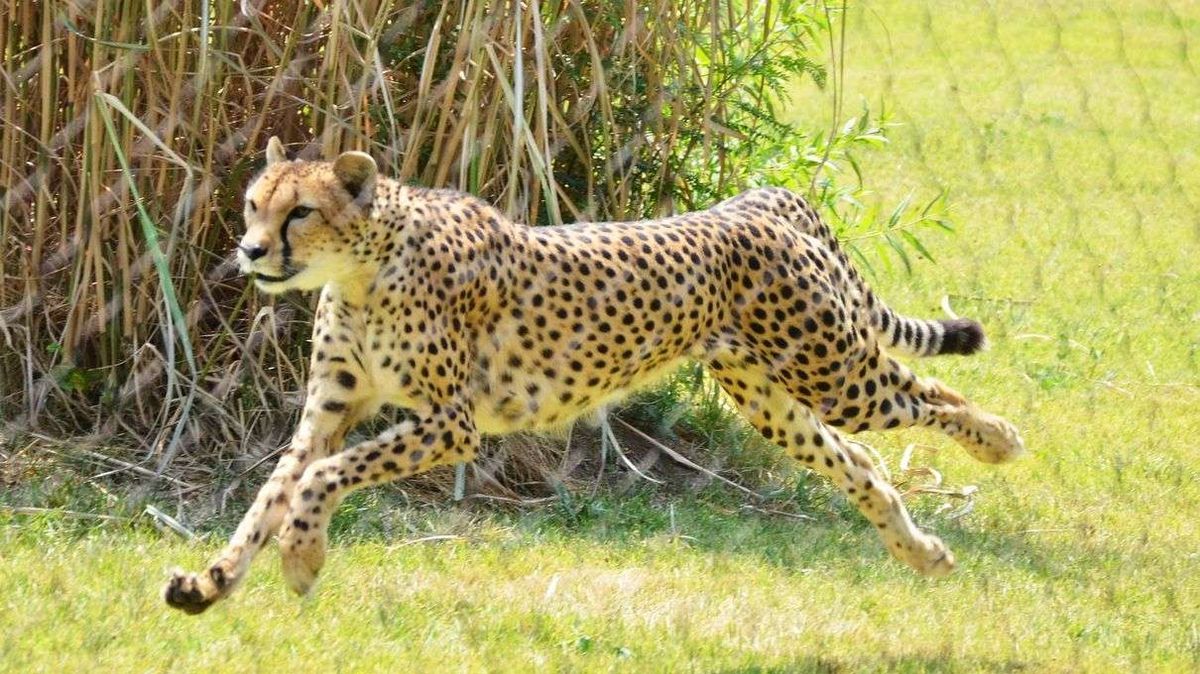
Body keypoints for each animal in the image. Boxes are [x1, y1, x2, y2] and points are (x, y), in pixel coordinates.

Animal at [164, 136, 1024, 614]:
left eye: (300, 212)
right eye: (253, 204)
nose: (249, 250)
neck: (365, 269)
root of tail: (756, 201)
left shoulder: (451, 424)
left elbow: (320, 481)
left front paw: (302, 560)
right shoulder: (330, 413)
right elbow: (270, 496)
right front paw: (211, 583)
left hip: (833, 369)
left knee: (929, 393)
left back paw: (999, 441)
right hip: (770, 394)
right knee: (860, 462)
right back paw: (922, 551)